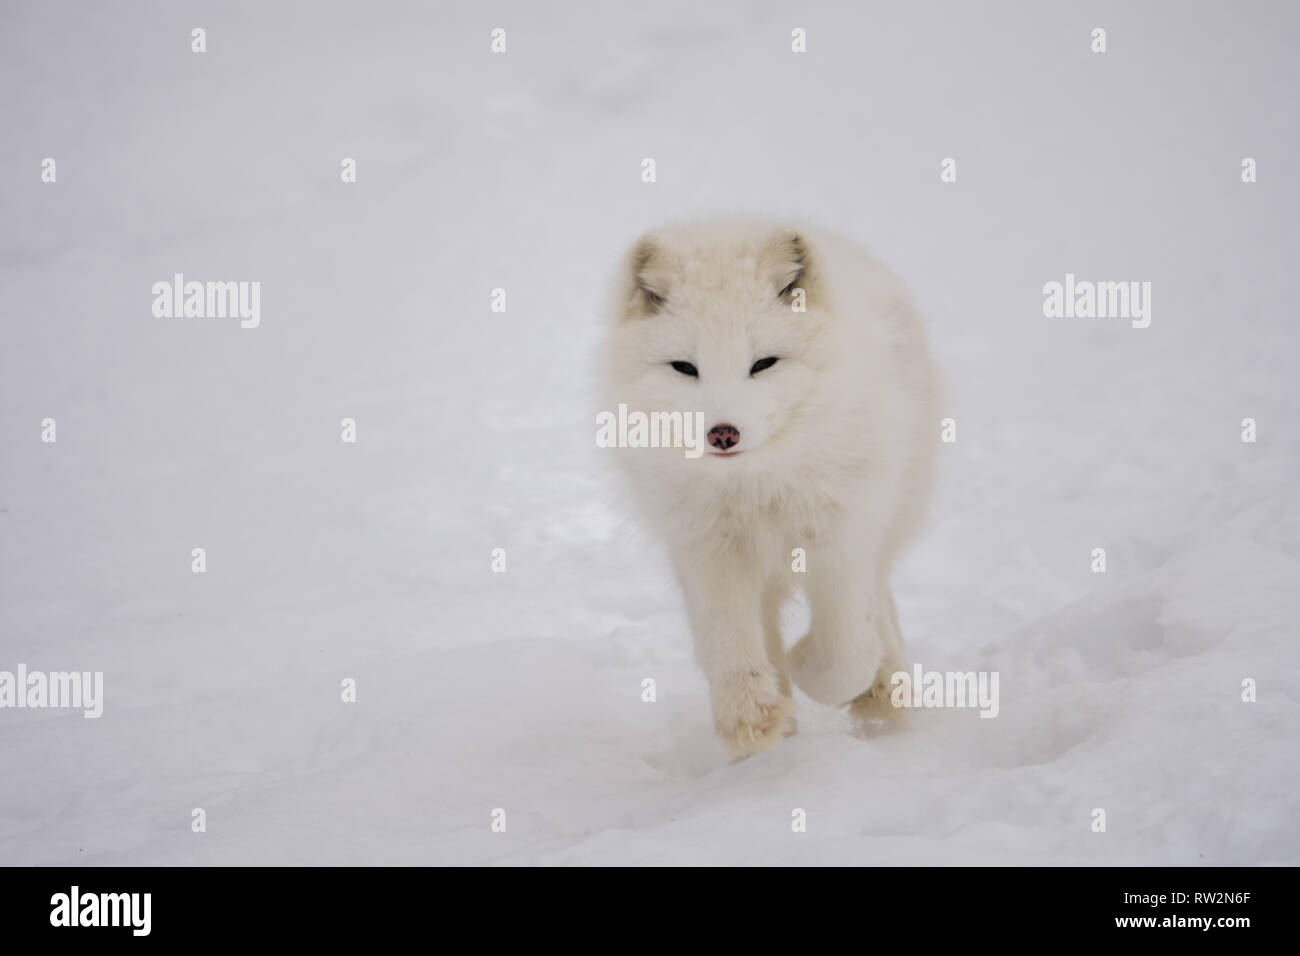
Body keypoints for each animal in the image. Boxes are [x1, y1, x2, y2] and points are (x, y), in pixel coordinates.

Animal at [603, 220, 941, 757]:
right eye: (685, 367)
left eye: (763, 363)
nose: (722, 433)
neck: (756, 489)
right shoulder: (708, 549)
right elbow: (728, 642)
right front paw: (751, 717)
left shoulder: (840, 539)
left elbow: (846, 652)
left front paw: (811, 666)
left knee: (878, 607)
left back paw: (882, 694)